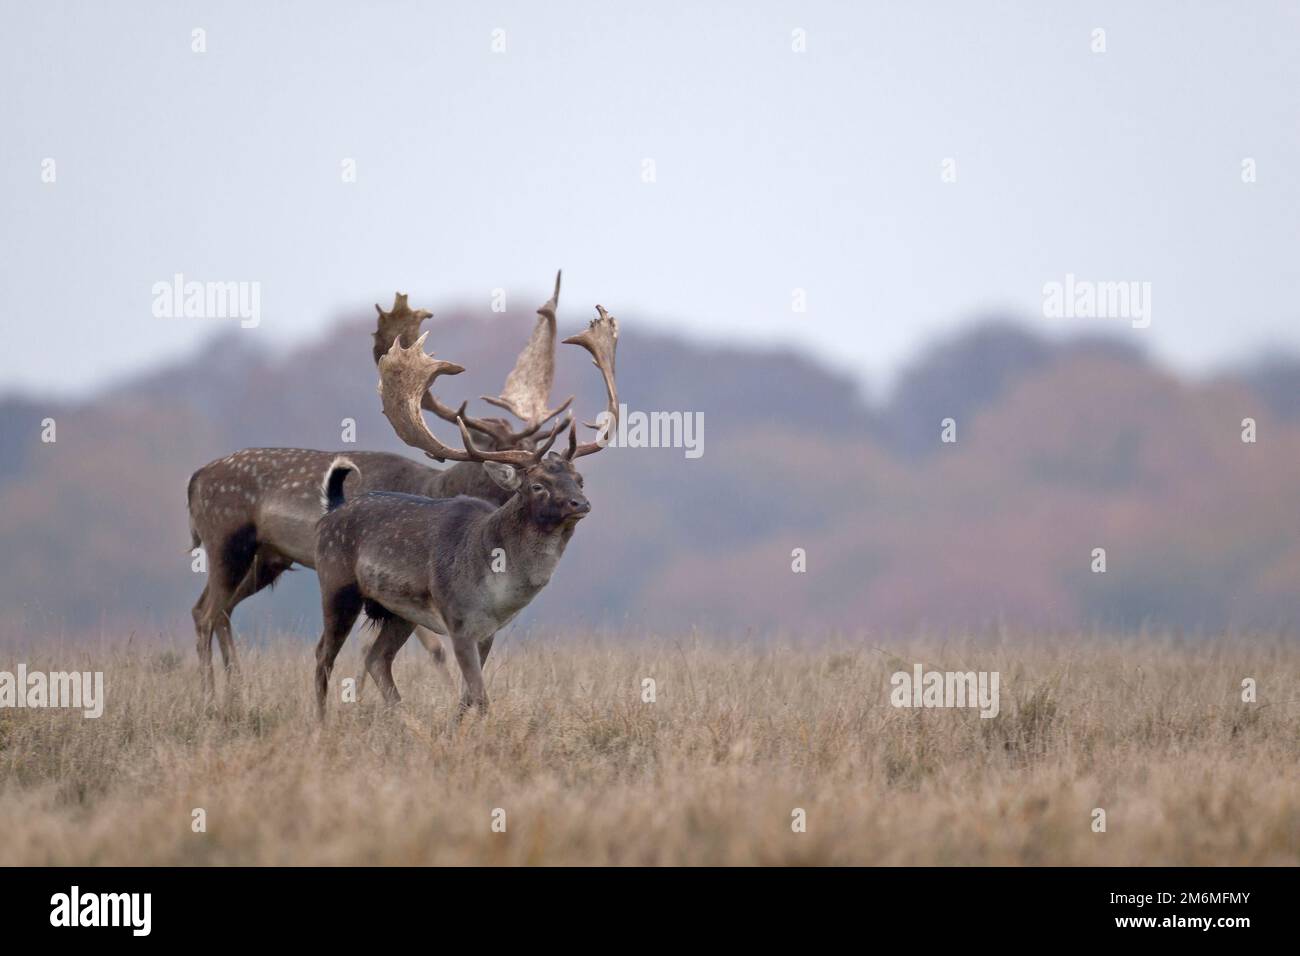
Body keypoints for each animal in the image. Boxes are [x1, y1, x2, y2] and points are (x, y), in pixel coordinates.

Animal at [186, 276, 571, 698]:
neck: (434, 485)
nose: (552, 471)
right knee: (206, 612)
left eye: (534, 445)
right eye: (499, 447)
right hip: (226, 538)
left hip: (268, 558)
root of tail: (195, 479)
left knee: (218, 609)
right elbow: (430, 646)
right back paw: (210, 695)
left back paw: (236, 688)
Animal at [312, 303, 619, 718]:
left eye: (579, 479)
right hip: (336, 584)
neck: (499, 583)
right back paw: (322, 723)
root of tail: (331, 511)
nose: (580, 504)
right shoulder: (458, 621)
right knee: (323, 656)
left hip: (398, 612)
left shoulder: (487, 631)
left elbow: (468, 694)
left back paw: (408, 723)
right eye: (537, 485)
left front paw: (453, 727)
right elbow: (481, 695)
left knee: (377, 659)